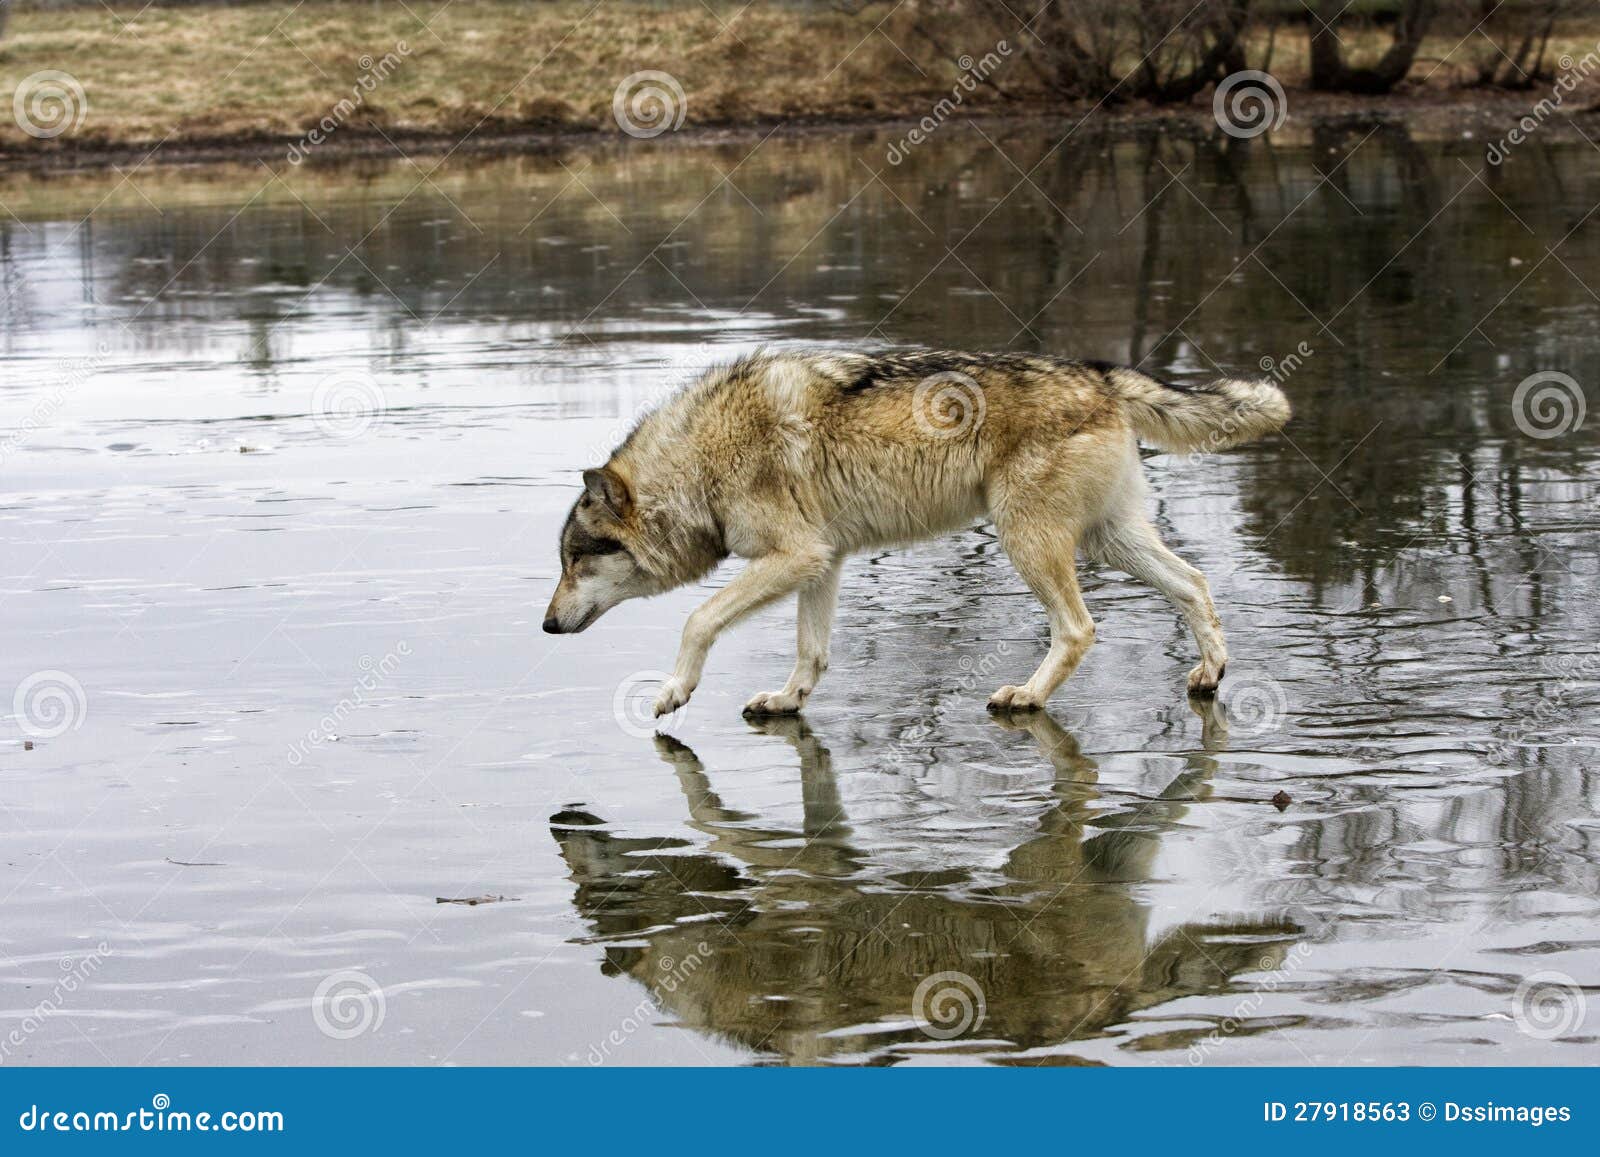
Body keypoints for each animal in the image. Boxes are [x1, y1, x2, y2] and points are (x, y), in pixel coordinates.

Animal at [543, 349, 1290, 718]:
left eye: (576, 560)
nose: (546, 625)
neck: (700, 461)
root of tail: (1099, 374)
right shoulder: (822, 562)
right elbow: (811, 652)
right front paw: (788, 700)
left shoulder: (795, 556)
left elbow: (697, 619)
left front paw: (674, 692)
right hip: (1110, 541)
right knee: (1194, 583)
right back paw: (1210, 674)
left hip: (1027, 540)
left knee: (1079, 629)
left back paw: (1027, 696)